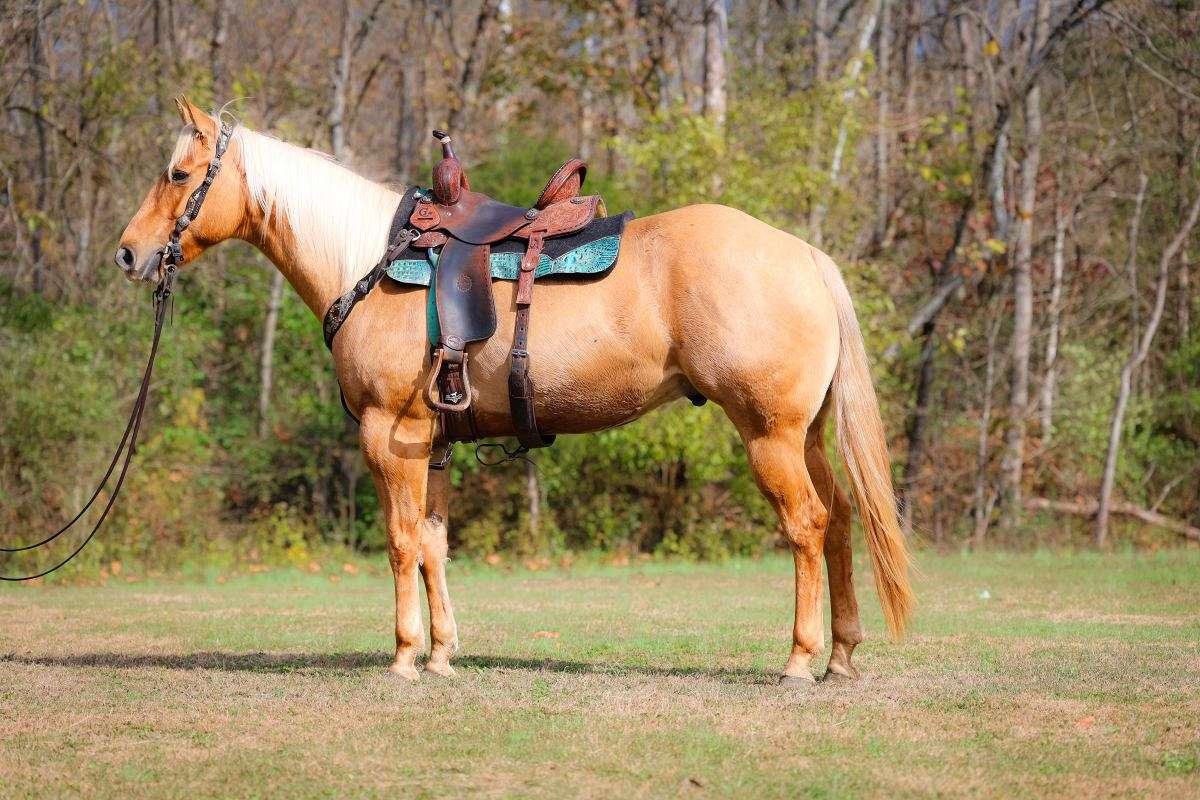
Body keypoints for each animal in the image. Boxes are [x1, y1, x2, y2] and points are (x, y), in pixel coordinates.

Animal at [115, 98, 912, 687]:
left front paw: (404, 656)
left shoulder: (387, 434)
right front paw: (441, 654)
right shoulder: (430, 442)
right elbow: (434, 542)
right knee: (840, 520)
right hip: (805, 435)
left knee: (807, 524)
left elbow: (401, 542)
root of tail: (804, 255)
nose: (129, 253)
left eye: (180, 174)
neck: (369, 262)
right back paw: (842, 654)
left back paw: (800, 659)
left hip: (768, 434)